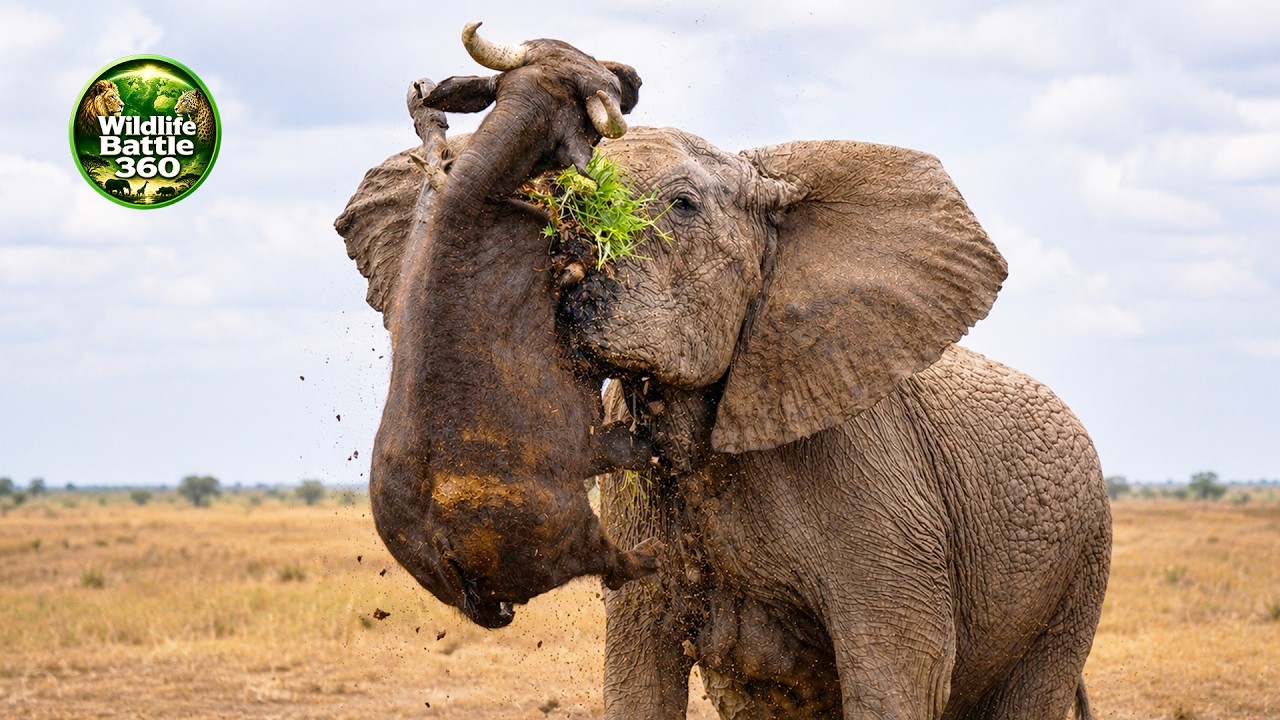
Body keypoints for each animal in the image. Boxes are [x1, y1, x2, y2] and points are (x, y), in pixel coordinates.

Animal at [335, 23, 1111, 720]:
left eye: (683, 206)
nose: (627, 76)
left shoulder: (880, 489)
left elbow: (902, 677)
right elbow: (638, 679)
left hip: (1079, 567)